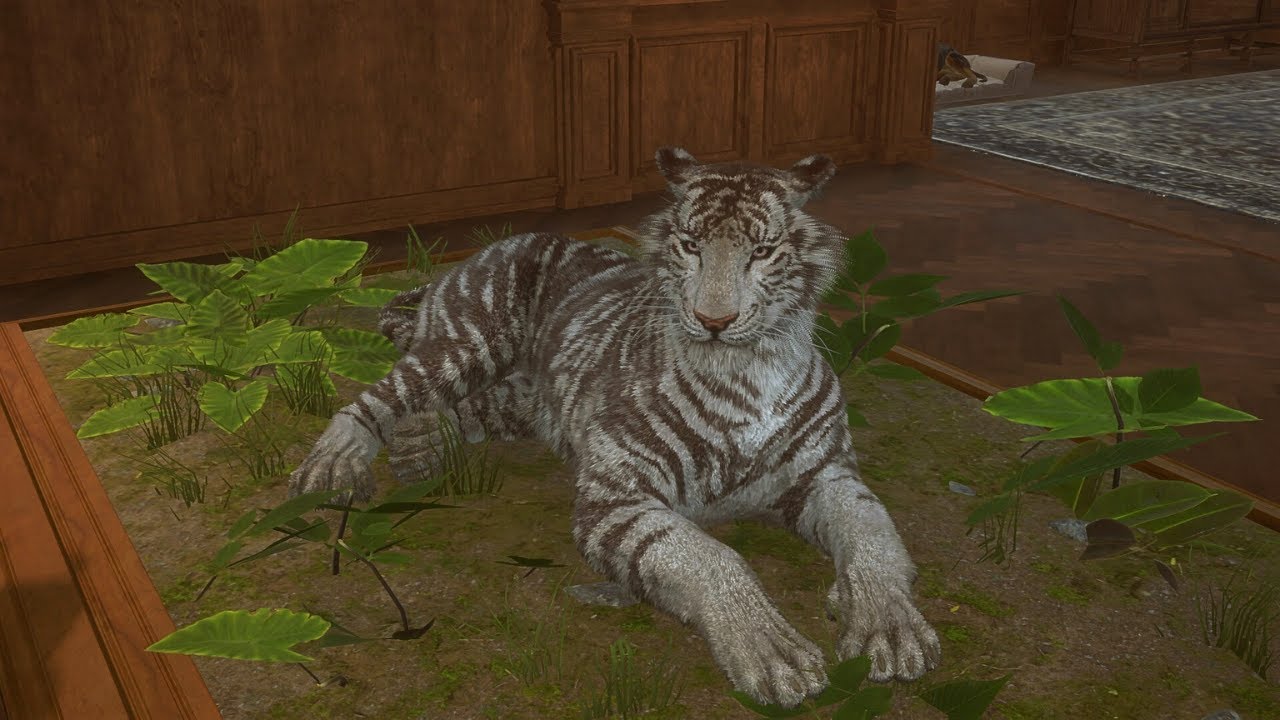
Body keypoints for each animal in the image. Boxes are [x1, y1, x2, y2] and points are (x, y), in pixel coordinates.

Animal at [288, 147, 941, 707]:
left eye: (761, 251)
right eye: (690, 245)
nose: (714, 320)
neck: (747, 371)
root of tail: (499, 244)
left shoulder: (828, 475)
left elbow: (873, 535)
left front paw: (891, 627)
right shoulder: (617, 496)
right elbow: (712, 558)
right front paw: (770, 651)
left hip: (521, 396)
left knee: (462, 409)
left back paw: (418, 446)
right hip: (464, 344)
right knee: (375, 397)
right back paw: (332, 468)